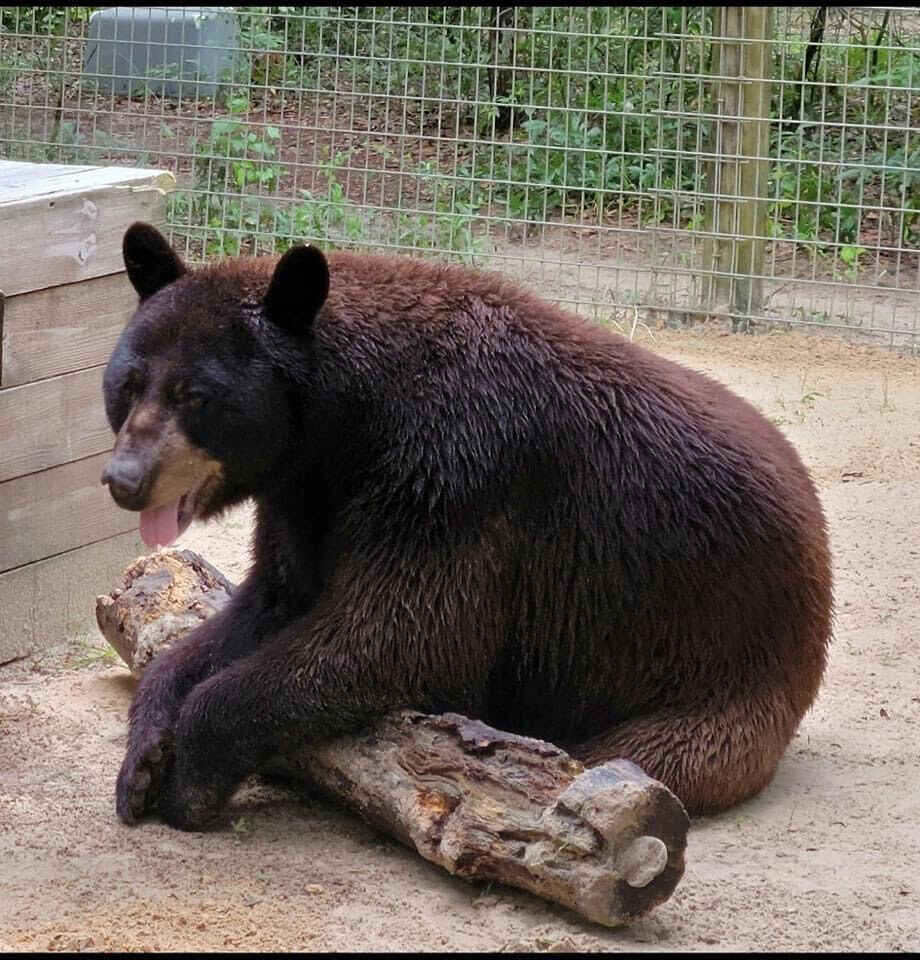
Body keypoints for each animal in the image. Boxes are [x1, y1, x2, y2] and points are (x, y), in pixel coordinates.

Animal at [103, 222, 832, 830]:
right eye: (128, 383)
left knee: (648, 753)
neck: (345, 428)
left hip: (725, 671)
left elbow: (404, 633)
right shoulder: (304, 499)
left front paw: (192, 777)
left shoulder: (452, 474)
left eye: (197, 396)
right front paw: (143, 760)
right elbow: (267, 605)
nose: (123, 479)